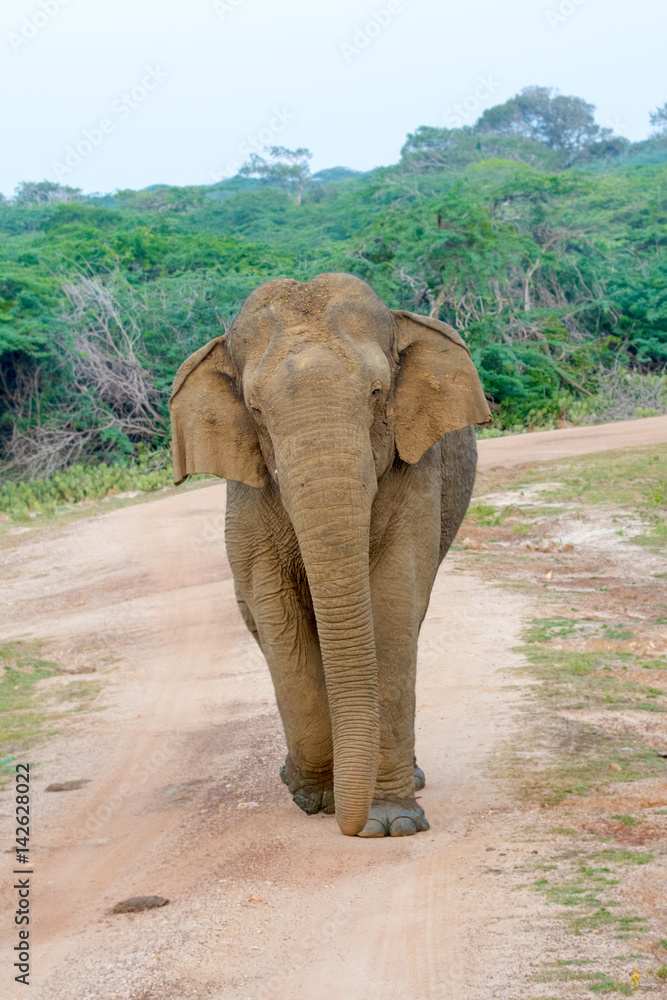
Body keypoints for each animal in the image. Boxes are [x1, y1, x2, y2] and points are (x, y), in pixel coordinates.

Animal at [169, 272, 492, 837]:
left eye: (377, 393)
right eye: (256, 411)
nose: (350, 827)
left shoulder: (417, 472)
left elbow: (393, 602)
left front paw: (391, 824)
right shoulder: (250, 494)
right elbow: (277, 614)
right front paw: (316, 798)